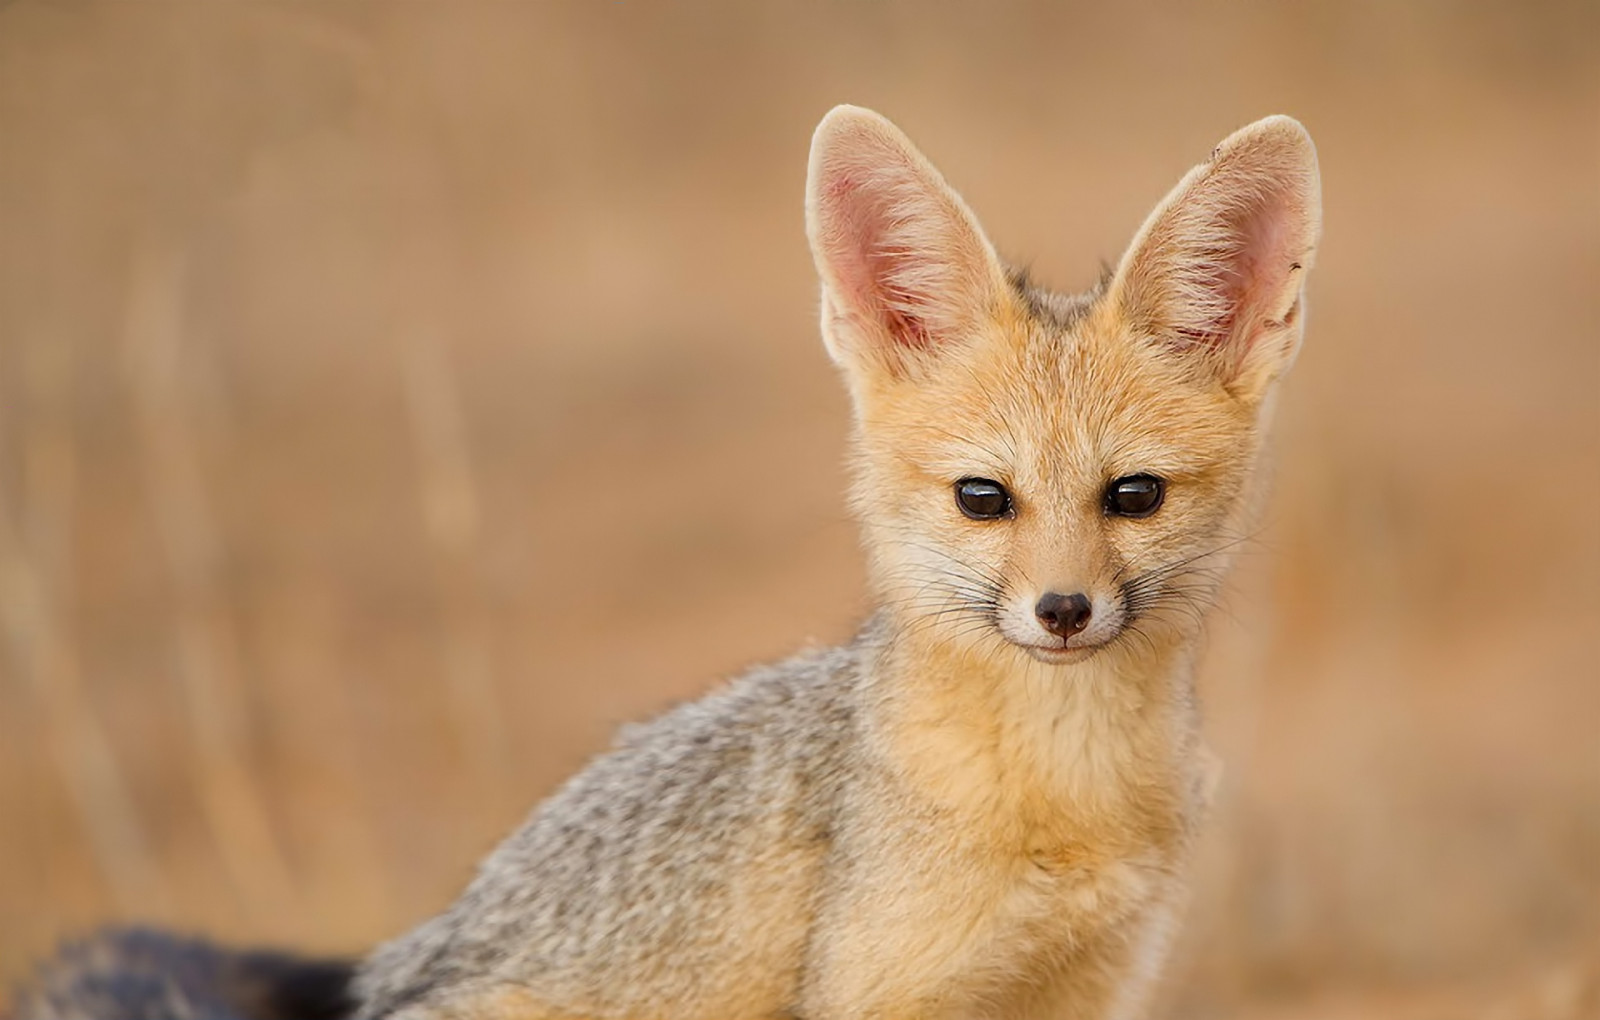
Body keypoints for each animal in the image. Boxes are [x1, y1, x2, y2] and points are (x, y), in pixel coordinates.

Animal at [13, 105, 1320, 1020]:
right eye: (982, 499)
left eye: (1132, 496)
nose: (1061, 610)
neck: (1061, 797)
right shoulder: (879, 991)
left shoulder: (1093, 984)